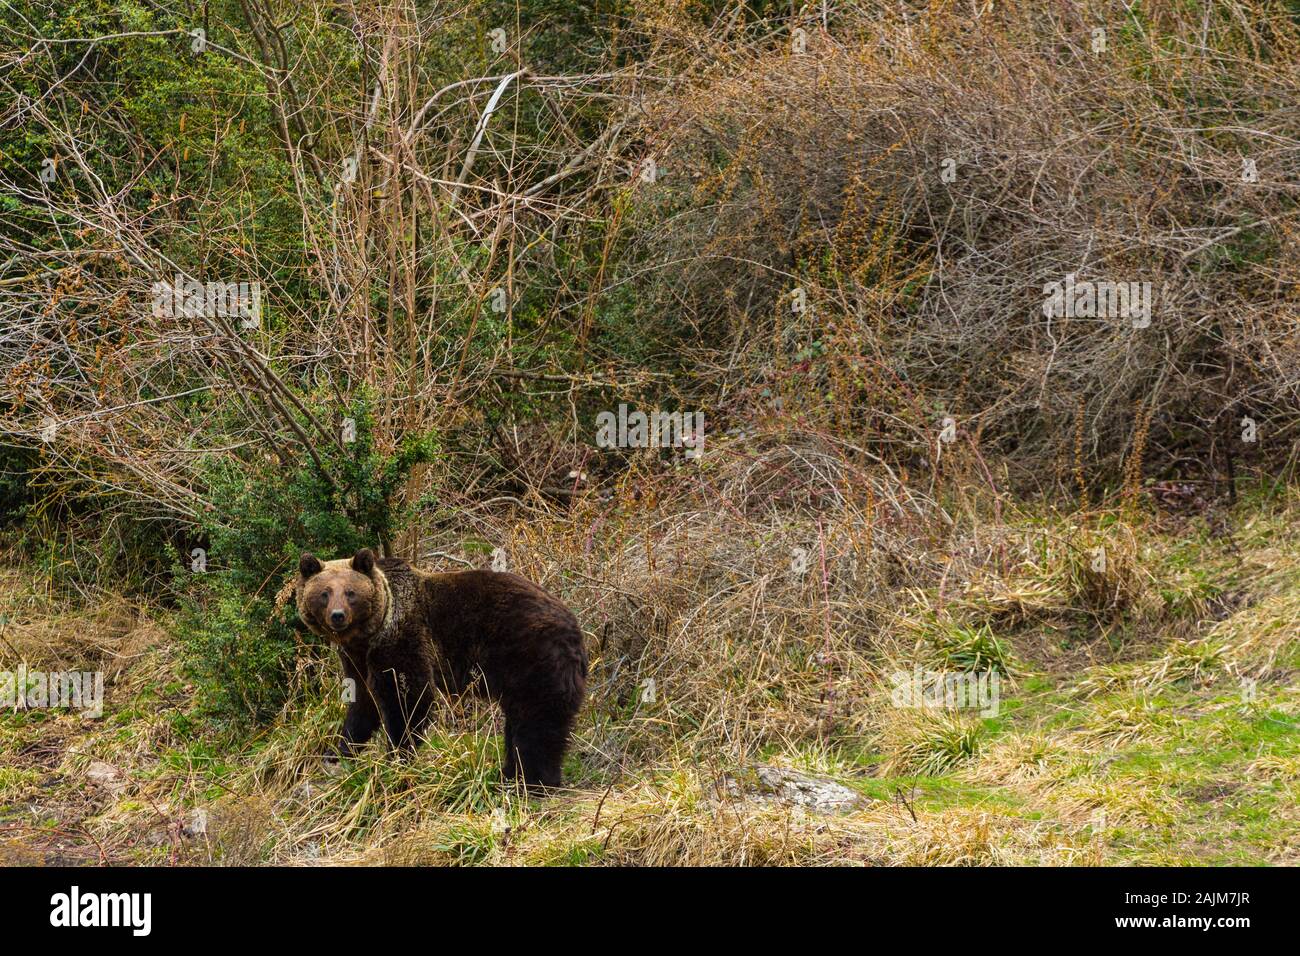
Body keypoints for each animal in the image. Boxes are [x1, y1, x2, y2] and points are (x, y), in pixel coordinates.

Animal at [295, 548, 587, 790]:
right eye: (324, 593)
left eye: (350, 593)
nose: (338, 616)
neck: (370, 633)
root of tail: (574, 625)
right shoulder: (357, 659)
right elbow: (362, 703)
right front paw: (338, 752)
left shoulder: (404, 641)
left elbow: (407, 700)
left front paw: (397, 757)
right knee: (521, 721)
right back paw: (511, 774)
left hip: (531, 656)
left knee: (537, 720)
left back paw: (532, 780)